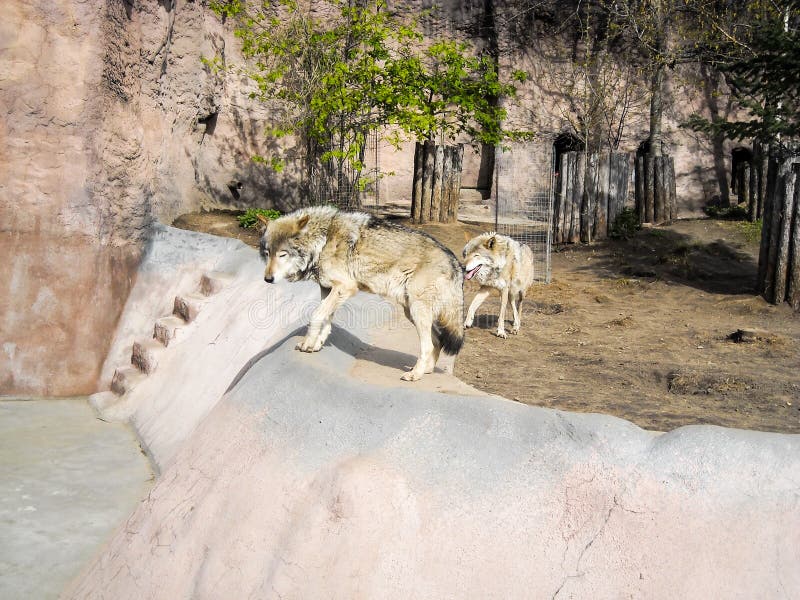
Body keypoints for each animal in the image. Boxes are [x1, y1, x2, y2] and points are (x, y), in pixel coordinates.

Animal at [257, 206, 464, 381]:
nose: (268, 279)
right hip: (411, 311)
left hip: (417, 310)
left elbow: (316, 316)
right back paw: (427, 370)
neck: (322, 241)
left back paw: (415, 374)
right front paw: (317, 344)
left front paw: (307, 343)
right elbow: (326, 320)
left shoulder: (345, 287)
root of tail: (455, 262)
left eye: (282, 254)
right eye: (267, 253)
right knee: (437, 340)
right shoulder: (328, 289)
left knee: (428, 345)